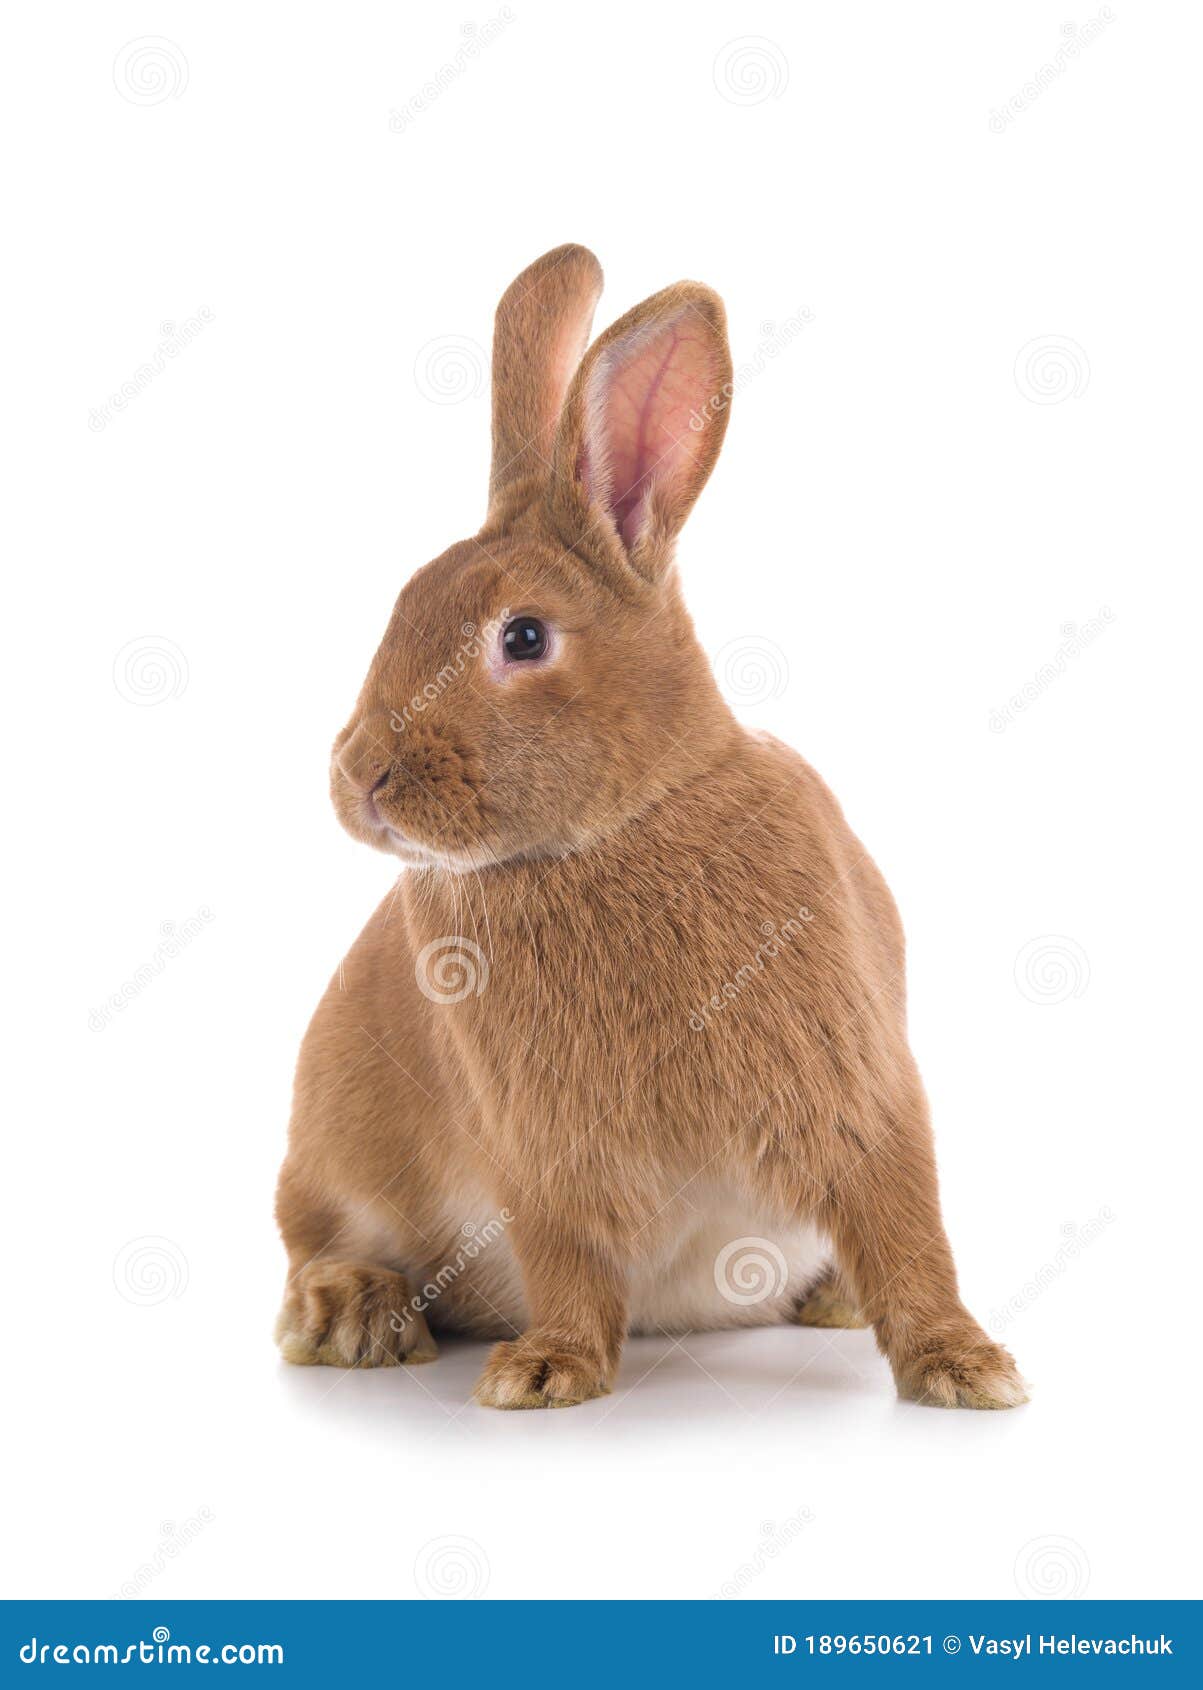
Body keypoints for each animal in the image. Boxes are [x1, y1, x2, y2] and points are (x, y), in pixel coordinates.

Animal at [274, 244, 1026, 1412]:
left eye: (522, 637)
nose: (362, 778)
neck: (620, 826)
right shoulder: (541, 1156)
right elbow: (568, 1264)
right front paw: (546, 1373)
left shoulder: (862, 1093)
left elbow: (908, 1233)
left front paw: (966, 1368)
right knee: (311, 1241)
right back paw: (352, 1312)